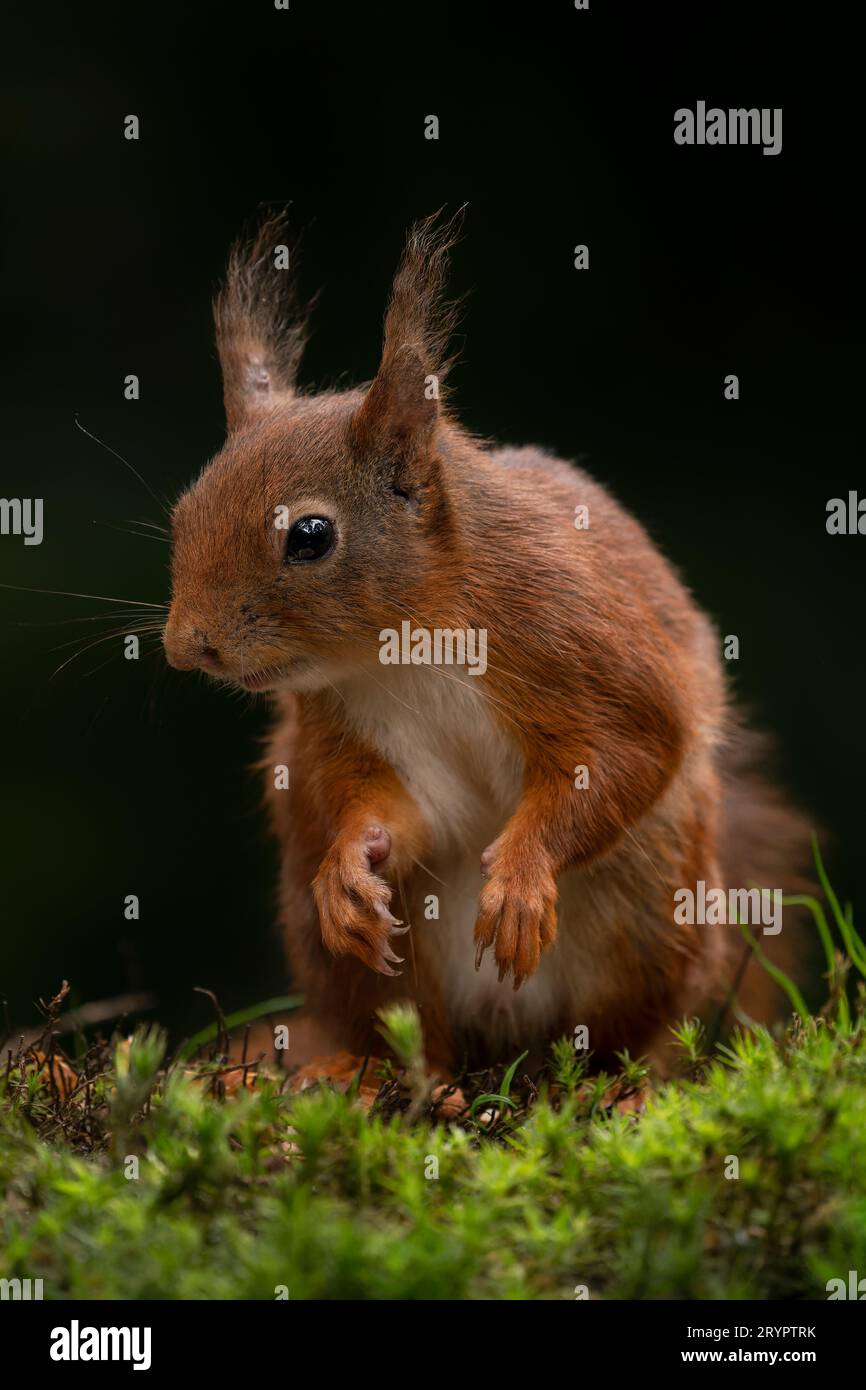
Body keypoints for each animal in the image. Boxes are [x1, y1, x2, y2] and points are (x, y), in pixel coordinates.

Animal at [163, 211, 810, 1076]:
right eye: (183, 511)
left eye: (309, 536)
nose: (185, 645)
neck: (400, 648)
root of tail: (506, 1044)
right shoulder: (342, 719)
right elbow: (403, 814)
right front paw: (351, 863)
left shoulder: (567, 630)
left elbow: (633, 745)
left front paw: (524, 877)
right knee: (406, 1033)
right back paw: (382, 1075)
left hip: (650, 907)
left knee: (628, 1030)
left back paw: (625, 1080)